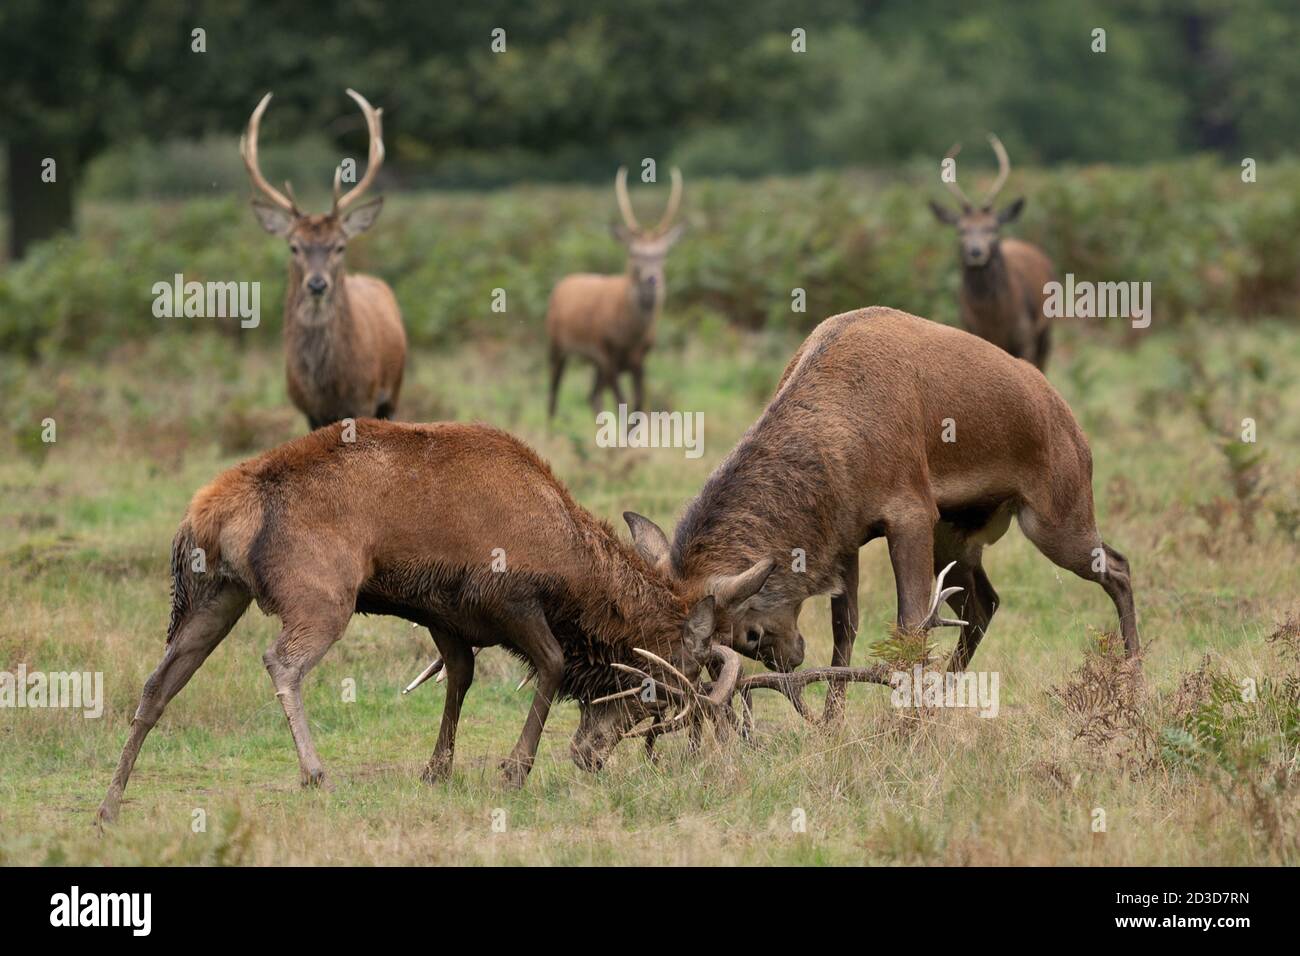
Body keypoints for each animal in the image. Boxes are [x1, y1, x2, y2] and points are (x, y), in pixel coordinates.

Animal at [98, 419, 745, 823]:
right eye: (659, 685)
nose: (591, 754)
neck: (572, 571)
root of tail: (211, 510)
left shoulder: (443, 613)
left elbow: (458, 678)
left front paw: (437, 770)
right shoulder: (509, 596)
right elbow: (553, 663)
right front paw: (514, 769)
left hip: (212, 596)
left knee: (159, 683)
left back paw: (110, 803)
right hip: (320, 594)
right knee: (281, 662)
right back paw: (316, 773)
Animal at [241, 89, 406, 429]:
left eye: (339, 246)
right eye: (294, 246)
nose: (317, 285)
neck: (328, 386)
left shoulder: (364, 398)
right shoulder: (308, 410)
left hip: (393, 391)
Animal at [546, 166, 684, 419]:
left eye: (663, 254)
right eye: (634, 253)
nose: (652, 279)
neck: (630, 335)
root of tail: (563, 282)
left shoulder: (639, 360)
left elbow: (638, 405)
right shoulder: (607, 354)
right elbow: (624, 405)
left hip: (595, 363)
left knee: (592, 396)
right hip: (557, 346)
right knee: (553, 396)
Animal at [622, 306, 1139, 723]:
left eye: (748, 634)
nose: (790, 658)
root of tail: (1069, 419)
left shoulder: (911, 510)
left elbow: (909, 624)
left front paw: (902, 724)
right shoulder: (845, 534)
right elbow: (845, 629)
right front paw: (834, 723)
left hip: (1055, 514)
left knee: (1117, 566)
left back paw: (1135, 684)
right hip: (957, 534)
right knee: (983, 604)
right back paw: (943, 701)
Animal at [929, 134, 1056, 371]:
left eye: (993, 227)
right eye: (961, 229)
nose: (976, 252)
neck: (994, 320)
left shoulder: (1025, 336)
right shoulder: (971, 328)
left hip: (1045, 330)